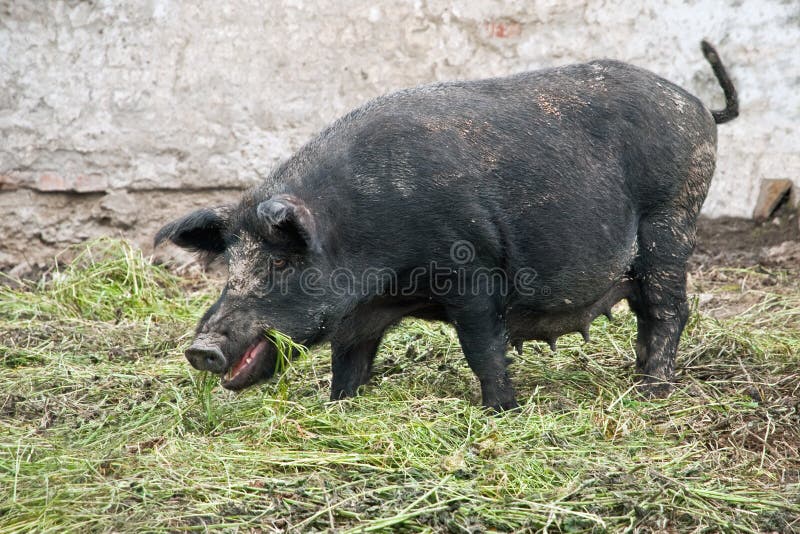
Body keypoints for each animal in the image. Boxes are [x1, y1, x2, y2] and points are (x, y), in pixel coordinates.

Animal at [155, 41, 738, 410]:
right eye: (230, 265)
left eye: (279, 261)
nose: (200, 347)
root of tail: (697, 107)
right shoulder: (359, 315)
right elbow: (349, 361)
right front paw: (338, 406)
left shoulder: (472, 270)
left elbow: (482, 349)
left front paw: (501, 411)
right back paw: (636, 380)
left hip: (672, 222)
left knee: (669, 311)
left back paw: (651, 393)